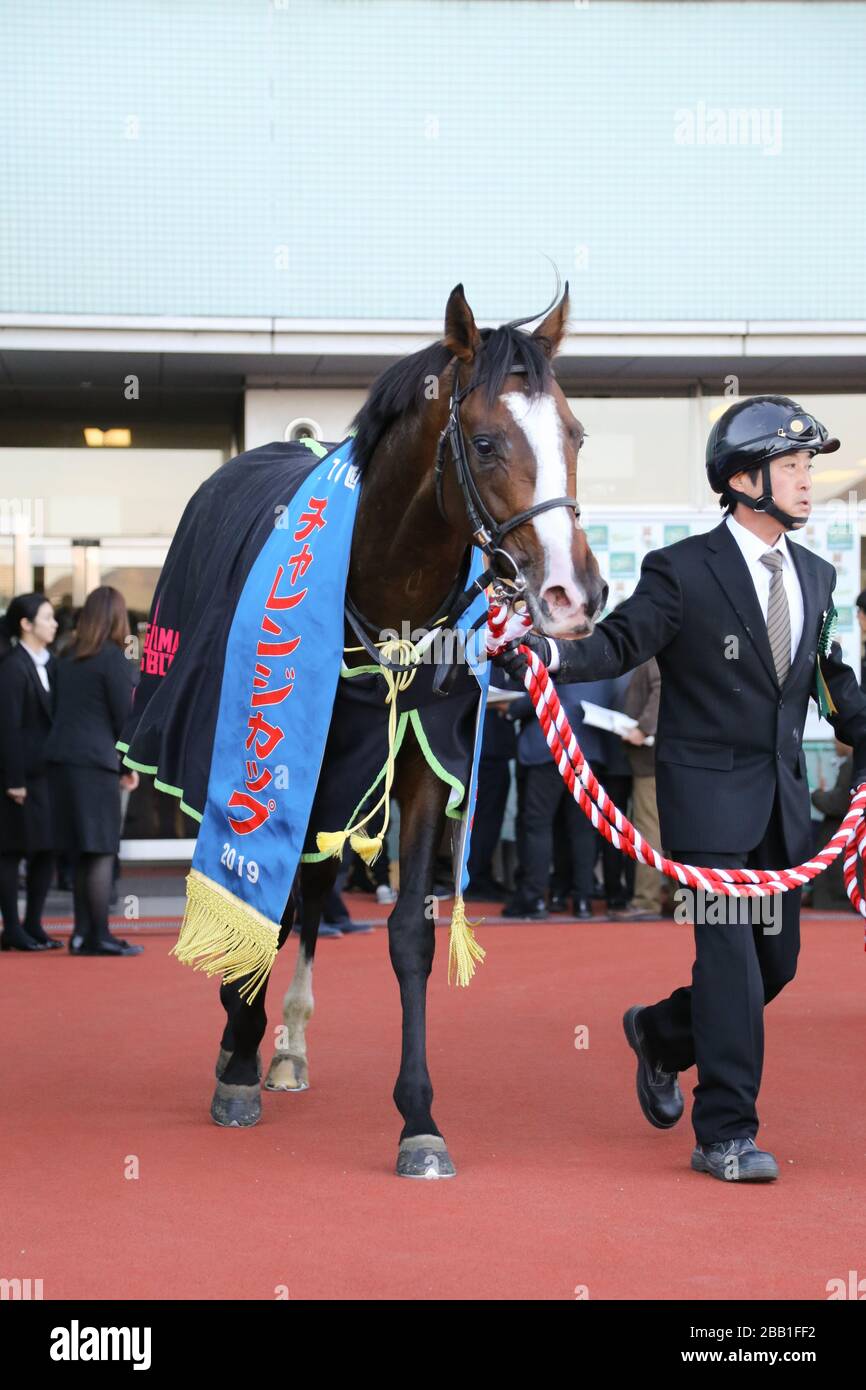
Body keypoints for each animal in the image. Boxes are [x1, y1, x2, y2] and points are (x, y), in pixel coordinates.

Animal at [213, 282, 607, 1177]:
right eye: (487, 442)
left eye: (574, 434)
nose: (574, 595)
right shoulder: (283, 754)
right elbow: (263, 895)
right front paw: (238, 1056)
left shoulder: (422, 764)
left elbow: (407, 936)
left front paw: (419, 1118)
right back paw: (241, 1037)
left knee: (314, 890)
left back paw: (286, 1044)